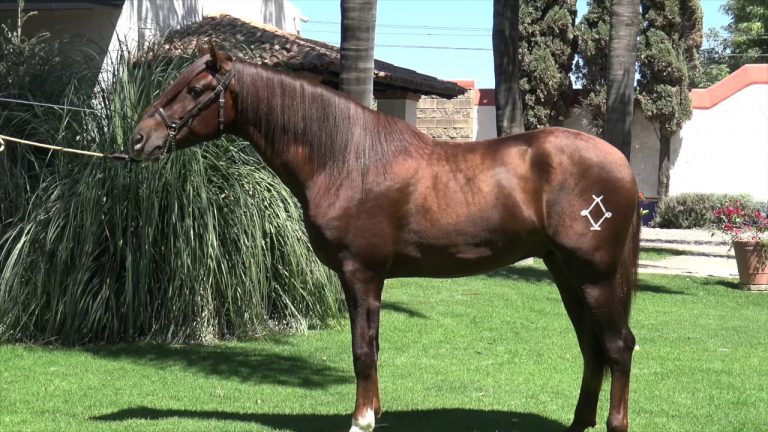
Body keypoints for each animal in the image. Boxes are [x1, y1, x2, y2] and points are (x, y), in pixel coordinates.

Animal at [130, 45, 640, 432]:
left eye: (195, 90)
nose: (138, 140)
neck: (346, 157)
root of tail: (620, 162)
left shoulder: (362, 274)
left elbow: (361, 350)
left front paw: (361, 420)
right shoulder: (358, 279)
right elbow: (371, 347)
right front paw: (373, 411)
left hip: (593, 276)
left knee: (618, 346)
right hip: (565, 272)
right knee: (592, 346)